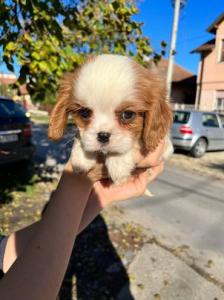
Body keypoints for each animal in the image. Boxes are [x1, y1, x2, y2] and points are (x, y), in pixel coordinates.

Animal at [48, 55, 172, 184]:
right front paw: (82, 156)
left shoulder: (166, 146)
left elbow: (135, 143)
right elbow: (80, 135)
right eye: (85, 112)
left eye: (127, 114)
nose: (103, 135)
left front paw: (118, 163)